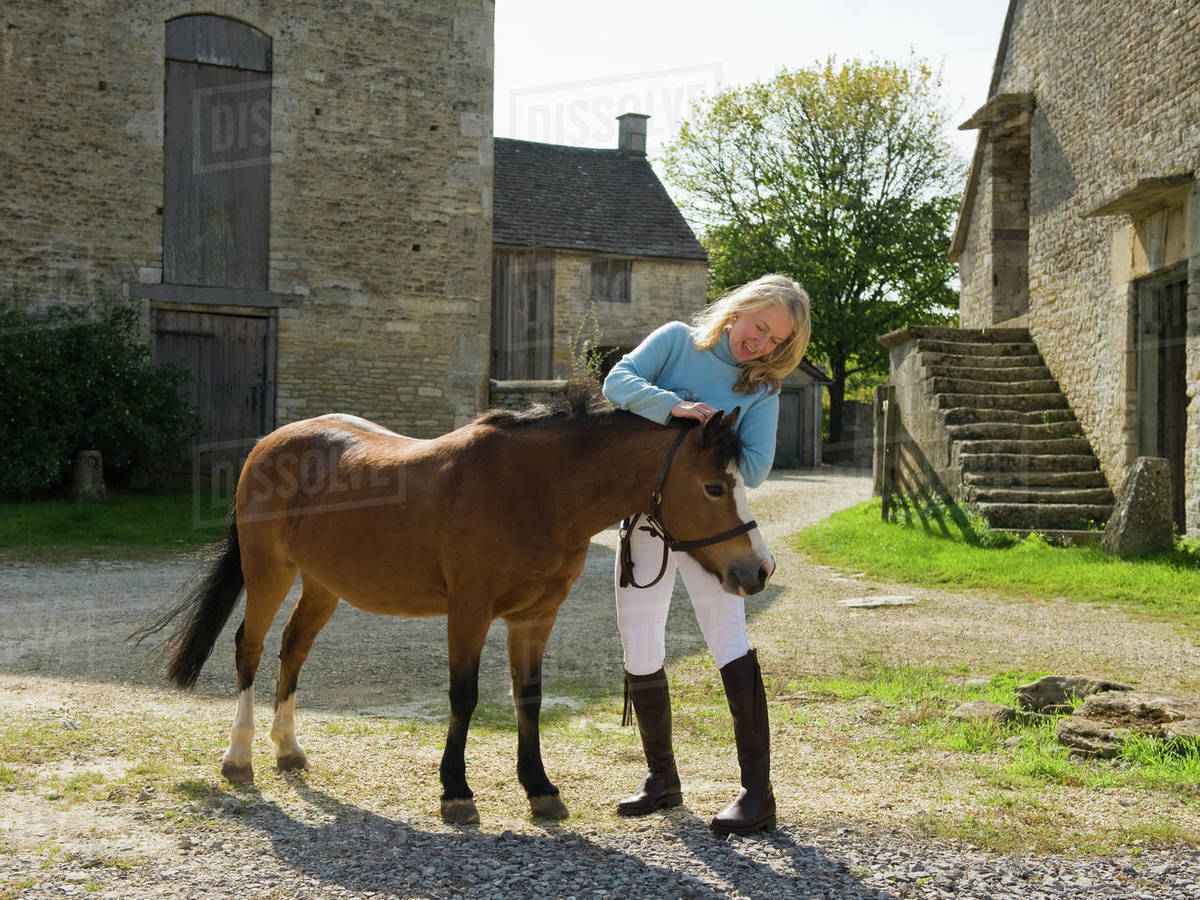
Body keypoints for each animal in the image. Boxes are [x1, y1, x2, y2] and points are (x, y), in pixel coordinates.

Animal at [134, 391, 775, 825]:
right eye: (714, 487)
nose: (759, 570)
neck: (535, 491)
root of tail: (271, 443)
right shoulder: (469, 610)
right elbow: (464, 696)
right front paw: (456, 792)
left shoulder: (535, 616)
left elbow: (527, 697)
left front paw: (539, 788)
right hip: (269, 570)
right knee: (250, 647)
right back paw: (239, 757)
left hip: (322, 585)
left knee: (294, 649)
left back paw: (288, 749)